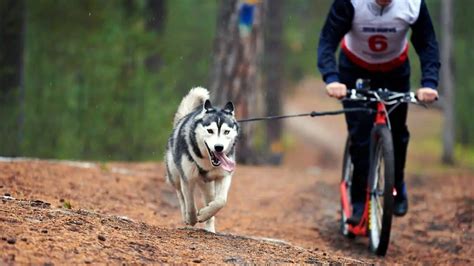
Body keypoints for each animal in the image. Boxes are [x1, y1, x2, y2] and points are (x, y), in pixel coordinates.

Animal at [165, 87, 239, 233]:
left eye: (226, 132)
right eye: (210, 130)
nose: (219, 147)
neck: (208, 163)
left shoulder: (224, 175)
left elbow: (220, 201)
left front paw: (204, 214)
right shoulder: (187, 178)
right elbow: (190, 203)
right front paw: (192, 218)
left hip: (208, 187)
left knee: (210, 201)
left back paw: (209, 228)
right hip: (175, 176)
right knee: (180, 195)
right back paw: (186, 215)